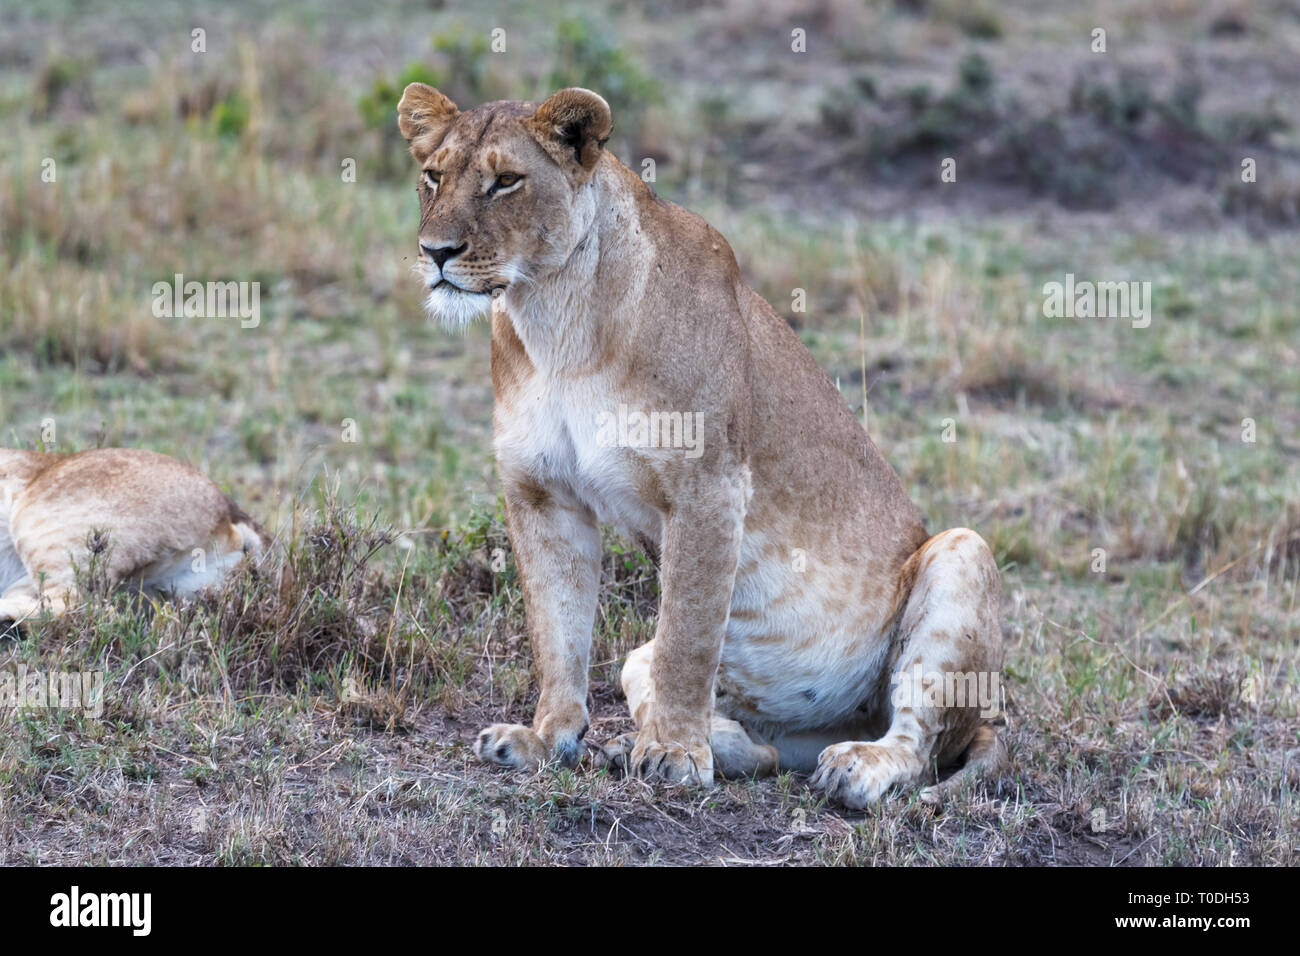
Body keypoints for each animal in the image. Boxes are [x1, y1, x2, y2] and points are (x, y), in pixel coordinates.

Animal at [398, 84, 1005, 807]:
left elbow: (688, 636)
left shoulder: (708, 487)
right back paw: (668, 744)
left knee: (919, 746)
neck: (552, 318)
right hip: (652, 664)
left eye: (506, 182)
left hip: (962, 555)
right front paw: (549, 739)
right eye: (434, 176)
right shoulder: (541, 493)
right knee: (763, 747)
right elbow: (557, 629)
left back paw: (855, 766)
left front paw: (674, 754)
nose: (436, 251)